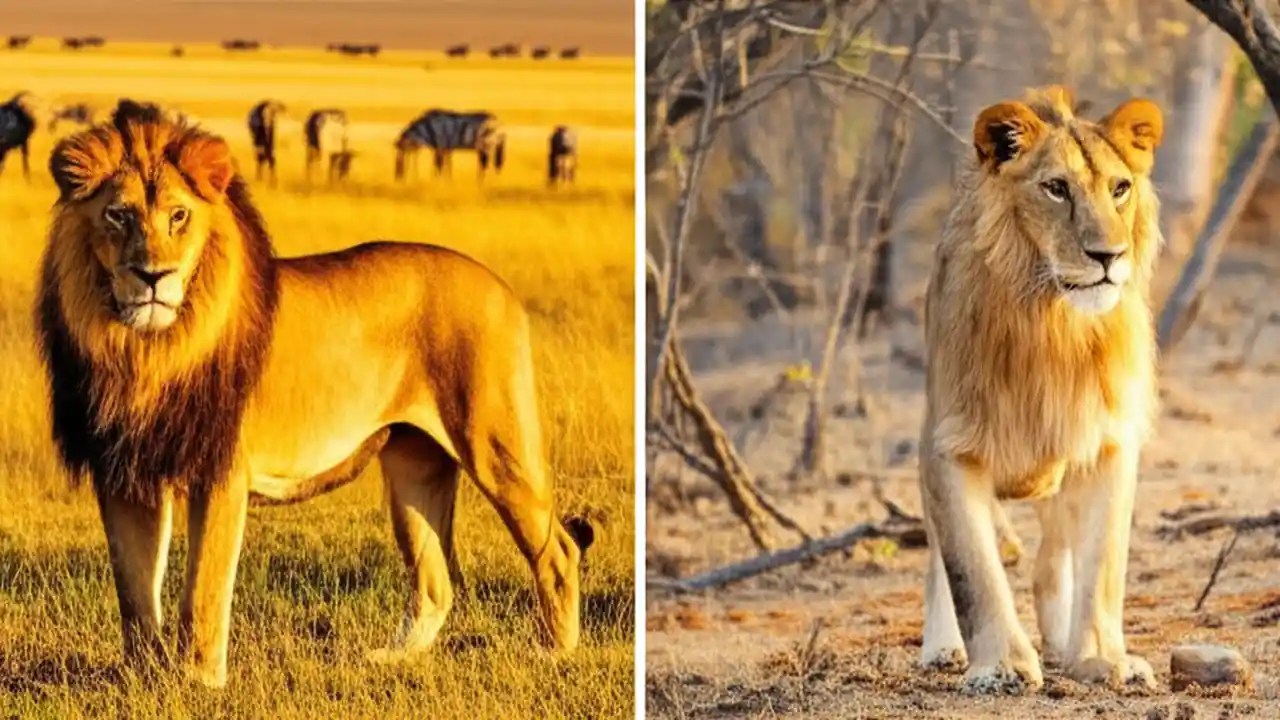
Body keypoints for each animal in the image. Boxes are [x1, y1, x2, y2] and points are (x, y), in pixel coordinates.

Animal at [35, 100, 591, 688]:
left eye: (178, 217)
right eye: (118, 215)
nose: (152, 276)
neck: (147, 351)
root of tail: (498, 283)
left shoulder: (220, 472)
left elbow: (203, 591)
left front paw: (199, 682)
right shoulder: (124, 473)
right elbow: (136, 593)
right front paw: (142, 680)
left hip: (496, 445)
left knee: (557, 549)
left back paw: (555, 653)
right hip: (414, 467)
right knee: (436, 579)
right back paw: (394, 658)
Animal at [918, 86, 1163, 694]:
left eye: (1120, 188)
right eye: (1056, 188)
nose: (1108, 256)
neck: (1052, 324)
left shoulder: (1109, 442)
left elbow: (1103, 567)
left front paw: (1102, 659)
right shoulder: (948, 444)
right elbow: (971, 569)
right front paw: (1001, 668)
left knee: (1055, 555)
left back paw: (1059, 638)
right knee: (938, 555)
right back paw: (942, 647)